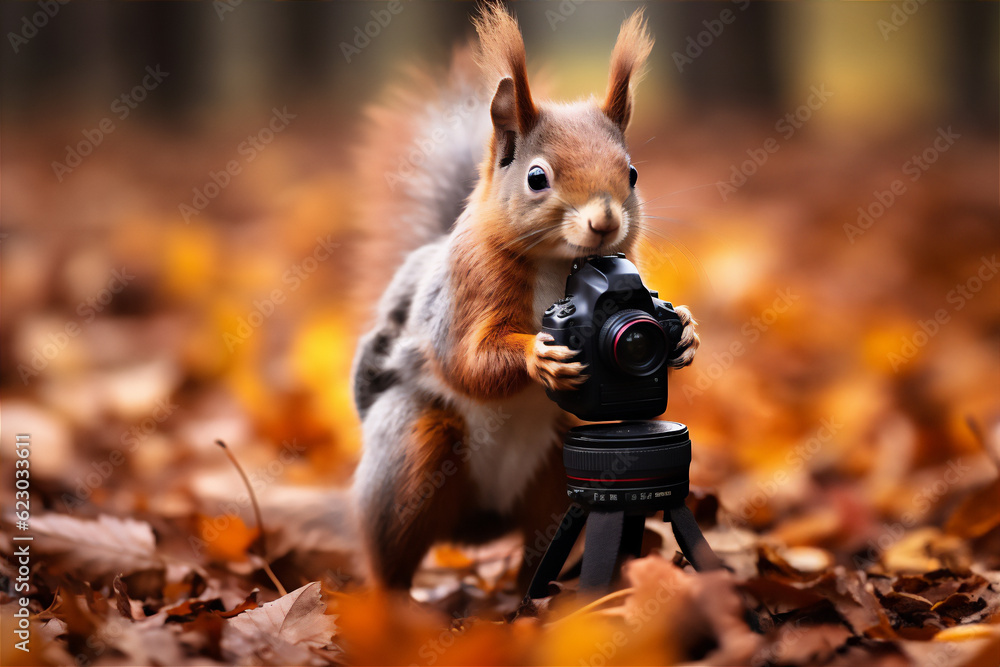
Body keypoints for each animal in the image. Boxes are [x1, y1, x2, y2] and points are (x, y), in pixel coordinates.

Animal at [351, 2, 699, 592]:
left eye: (631, 173)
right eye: (537, 177)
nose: (605, 222)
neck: (563, 269)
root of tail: (480, 524)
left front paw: (686, 334)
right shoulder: (468, 287)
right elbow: (467, 359)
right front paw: (542, 355)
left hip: (553, 469)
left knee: (541, 542)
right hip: (411, 450)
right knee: (393, 555)